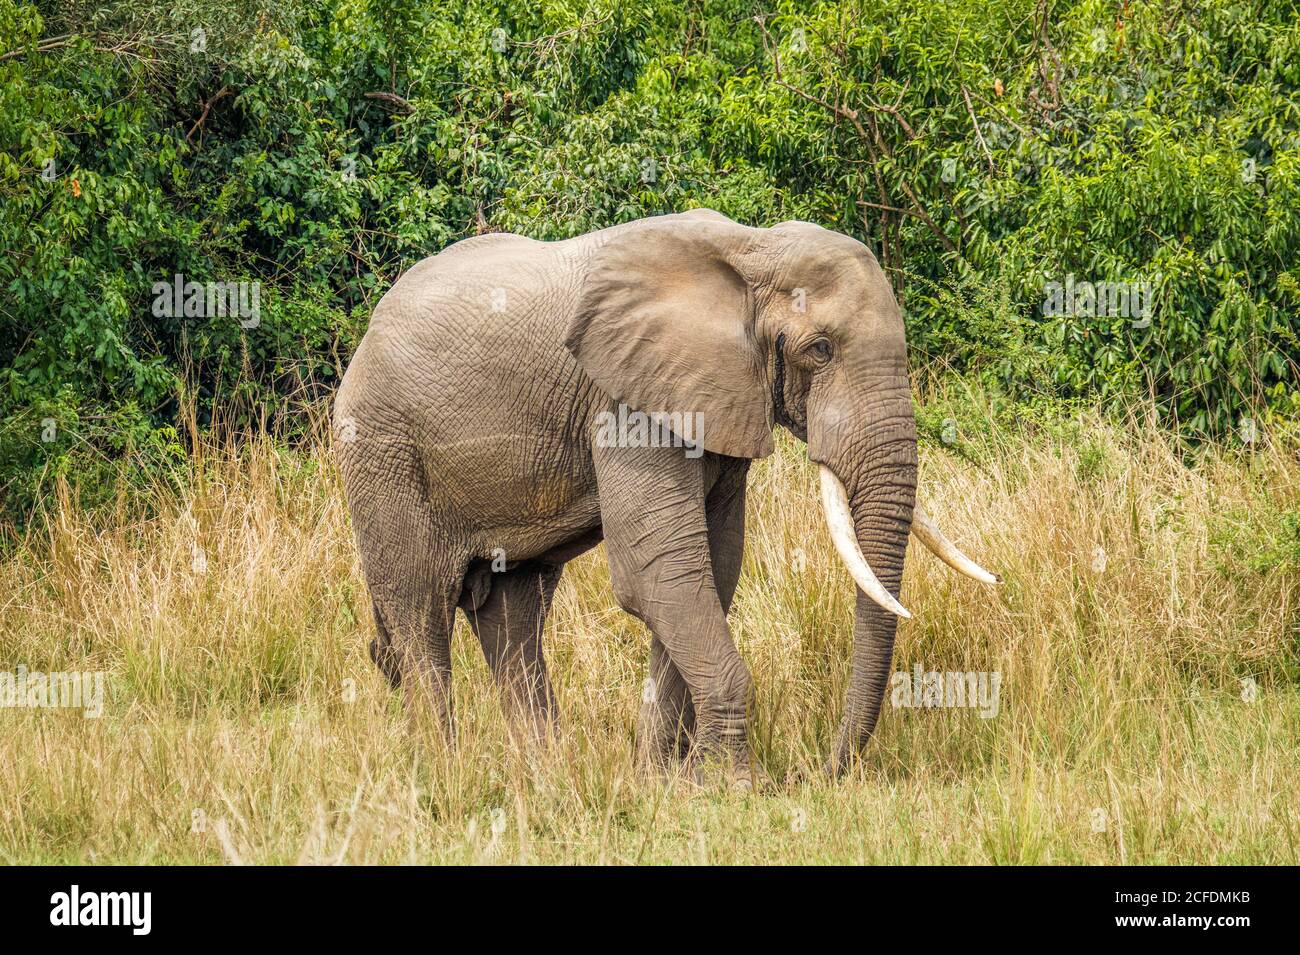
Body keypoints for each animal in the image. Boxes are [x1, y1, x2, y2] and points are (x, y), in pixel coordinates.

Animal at [333, 208, 998, 783]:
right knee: (420, 610)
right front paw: (733, 787)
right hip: (382, 449)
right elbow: (658, 574)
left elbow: (710, 571)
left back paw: (546, 773)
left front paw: (663, 780)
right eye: (819, 350)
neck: (751, 250)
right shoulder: (625, 402)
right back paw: (444, 771)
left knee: (514, 614)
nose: (825, 771)